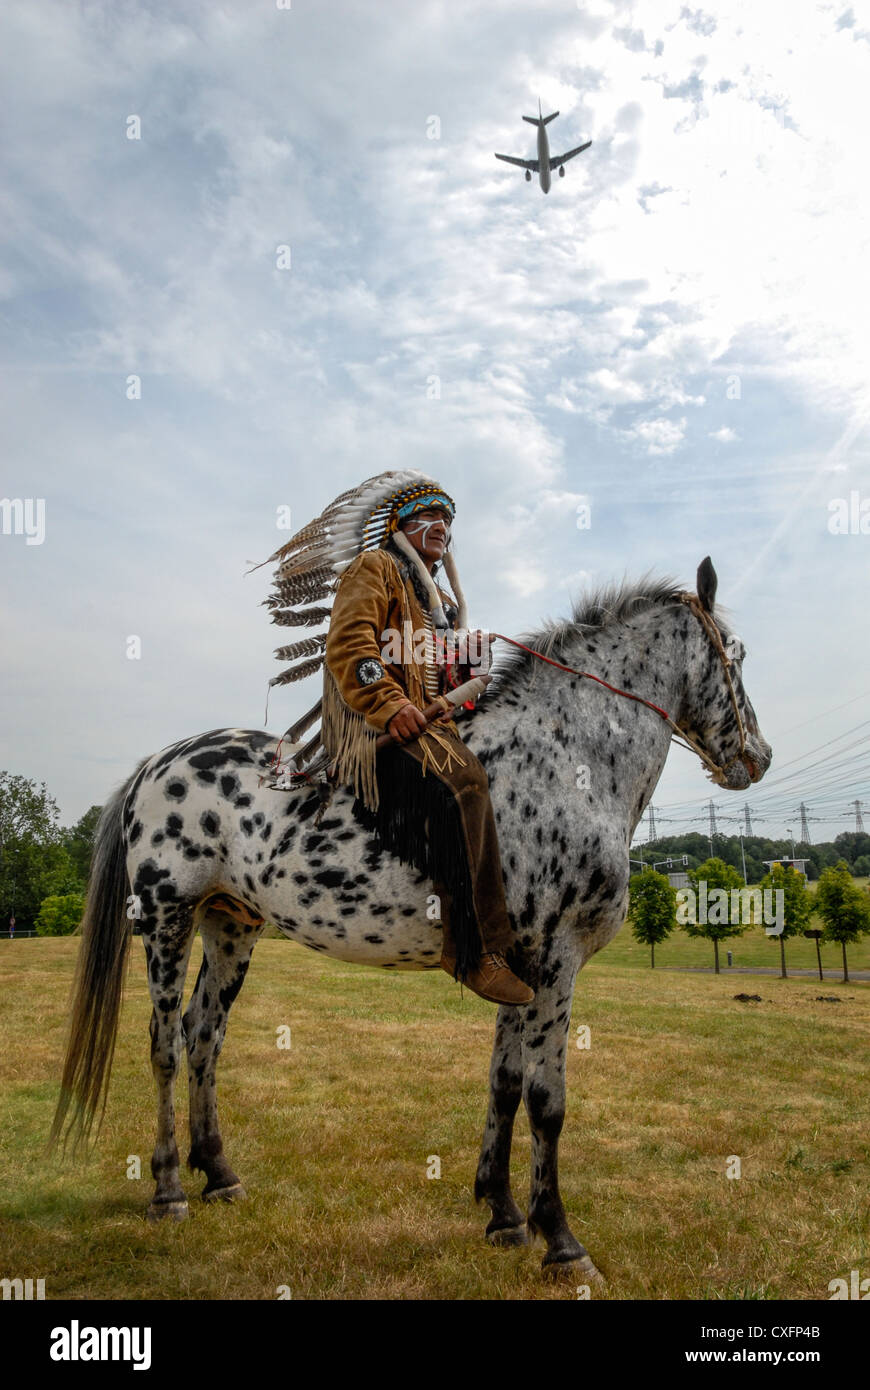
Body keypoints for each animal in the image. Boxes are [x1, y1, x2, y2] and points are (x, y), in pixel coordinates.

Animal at [51, 556, 771, 1280]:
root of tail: (156, 763)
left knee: (204, 1034)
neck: (568, 762)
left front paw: (503, 1214)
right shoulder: (555, 961)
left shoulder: (515, 967)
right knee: (165, 1044)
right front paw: (562, 1241)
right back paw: (169, 1189)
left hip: (231, 925)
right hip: (167, 919)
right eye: (736, 654)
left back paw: (220, 1174)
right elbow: (548, 1102)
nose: (757, 757)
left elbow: (505, 1084)